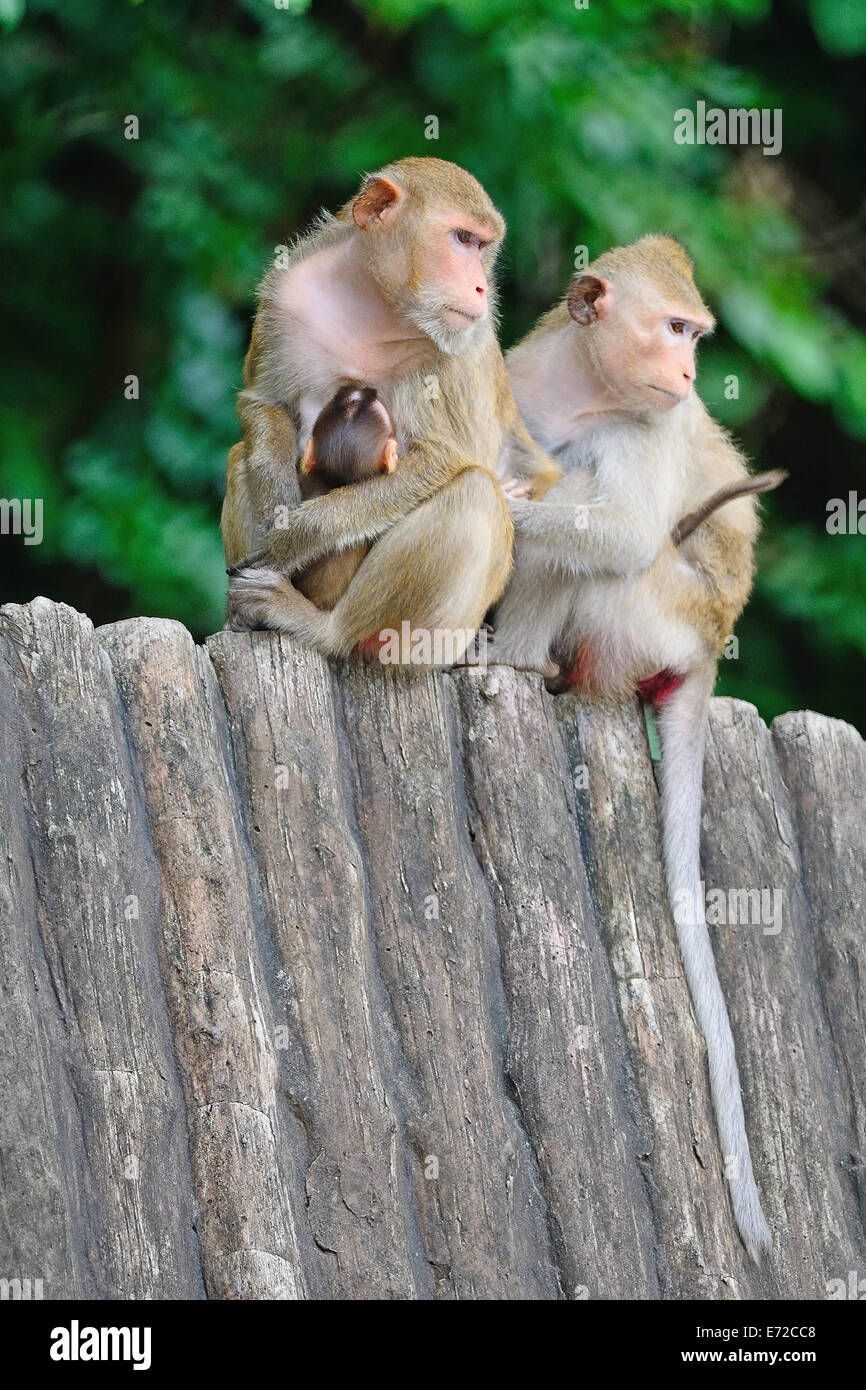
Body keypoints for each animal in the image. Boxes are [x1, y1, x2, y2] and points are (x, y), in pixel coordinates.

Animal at [491, 235, 775, 1261]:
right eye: (675, 328)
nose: (689, 372)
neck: (588, 387)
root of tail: (707, 649)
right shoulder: (521, 374)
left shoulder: (647, 430)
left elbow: (612, 530)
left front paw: (491, 499)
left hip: (650, 621)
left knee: (602, 544)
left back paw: (513, 662)